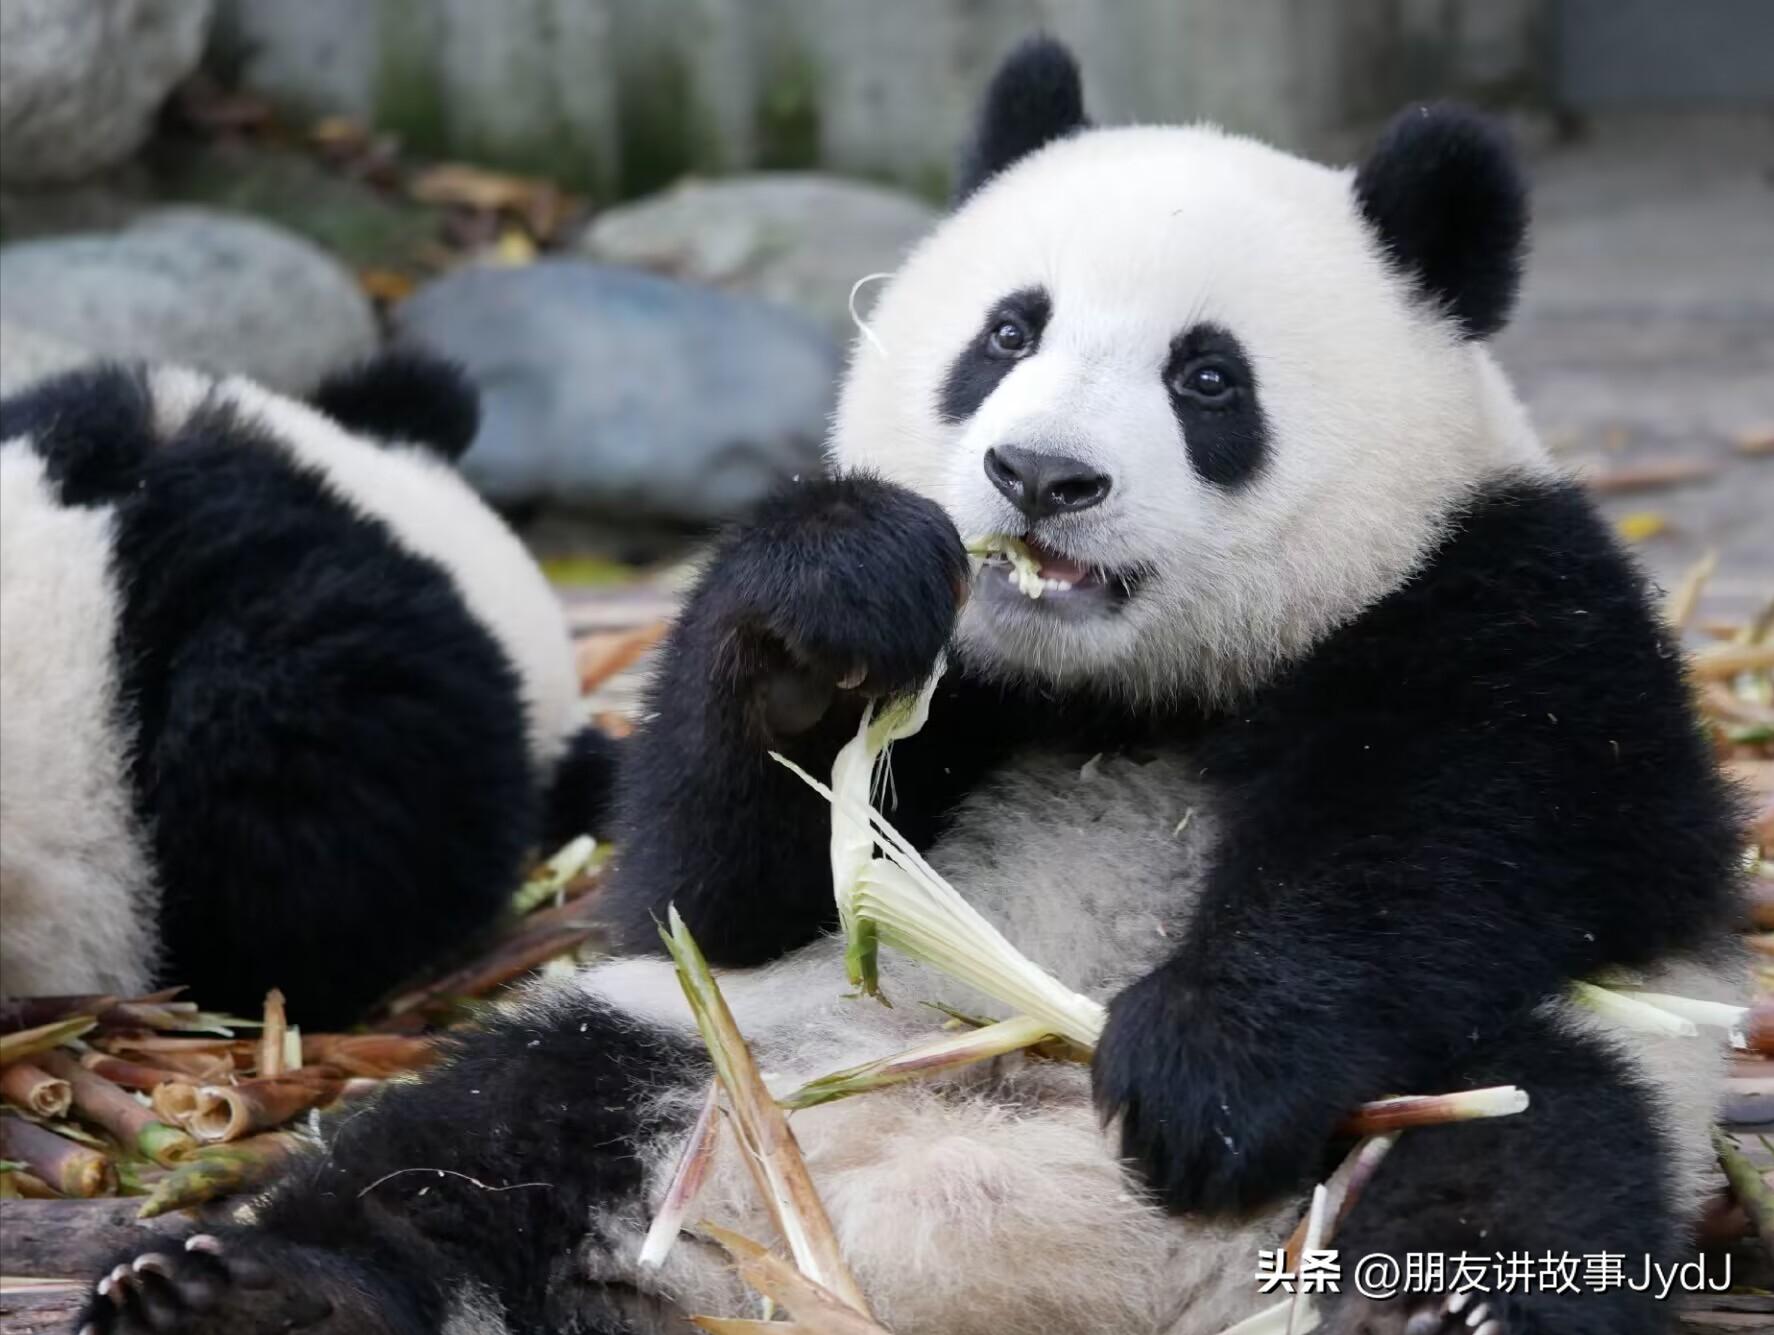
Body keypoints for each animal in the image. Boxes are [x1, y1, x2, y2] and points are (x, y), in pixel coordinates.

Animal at [78, 37, 1743, 1335]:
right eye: (1007, 331)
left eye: (1207, 377)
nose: (1040, 476)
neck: (1117, 695)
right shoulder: (899, 759)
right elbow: (712, 878)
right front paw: (828, 608)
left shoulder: (1492, 587)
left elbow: (1465, 834)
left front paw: (1201, 1065)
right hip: (708, 1069)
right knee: (463, 1148)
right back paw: (248, 1291)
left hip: (1507, 1082)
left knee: (1520, 1146)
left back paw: (1423, 1303)